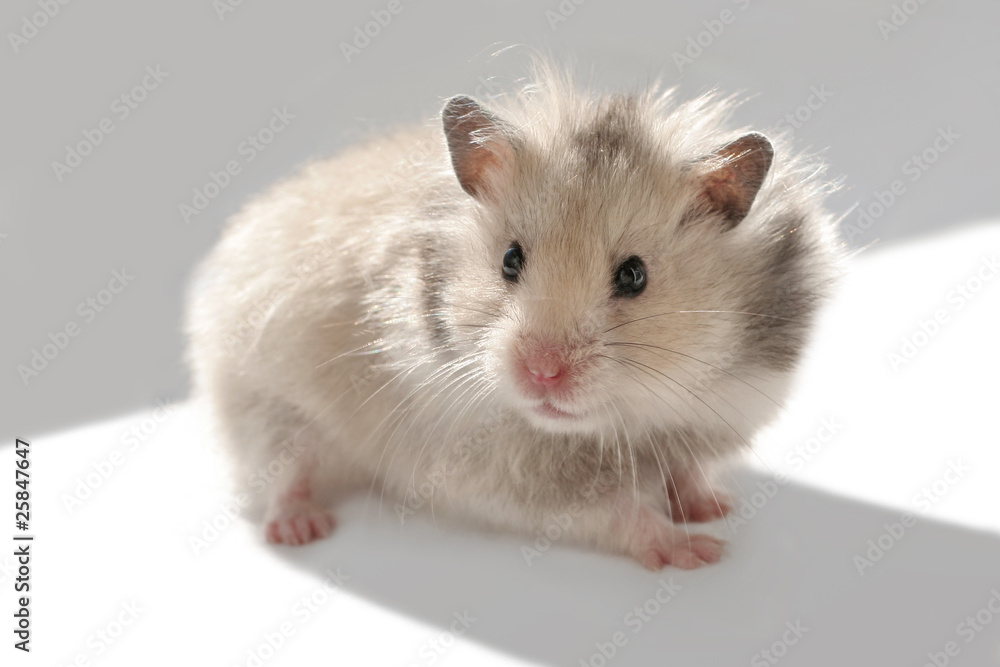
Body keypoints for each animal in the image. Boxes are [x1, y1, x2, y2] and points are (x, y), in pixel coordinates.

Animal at [185, 62, 840, 570]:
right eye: (510, 260)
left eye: (634, 275)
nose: (541, 374)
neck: (629, 417)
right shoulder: (497, 468)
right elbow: (614, 510)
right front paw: (697, 552)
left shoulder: (712, 412)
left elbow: (683, 468)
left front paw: (712, 507)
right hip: (263, 399)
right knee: (283, 466)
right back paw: (299, 529)